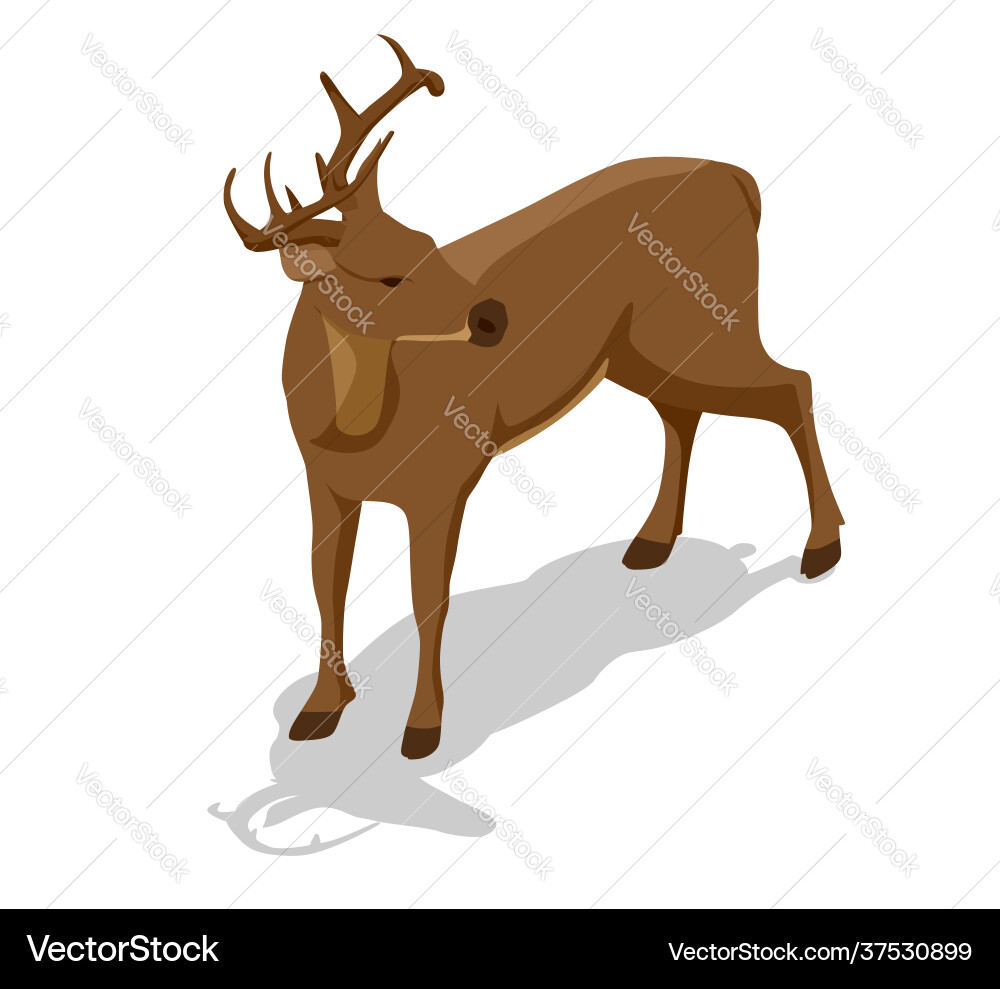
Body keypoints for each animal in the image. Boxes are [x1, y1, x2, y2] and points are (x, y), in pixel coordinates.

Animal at [223, 36, 844, 760]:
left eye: (429, 242)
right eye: (389, 276)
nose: (492, 318)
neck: (360, 427)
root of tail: (744, 182)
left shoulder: (443, 475)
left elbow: (429, 598)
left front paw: (422, 729)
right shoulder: (322, 482)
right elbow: (326, 584)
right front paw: (321, 711)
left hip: (711, 321)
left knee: (792, 383)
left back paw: (821, 548)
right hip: (642, 351)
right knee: (684, 409)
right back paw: (653, 542)